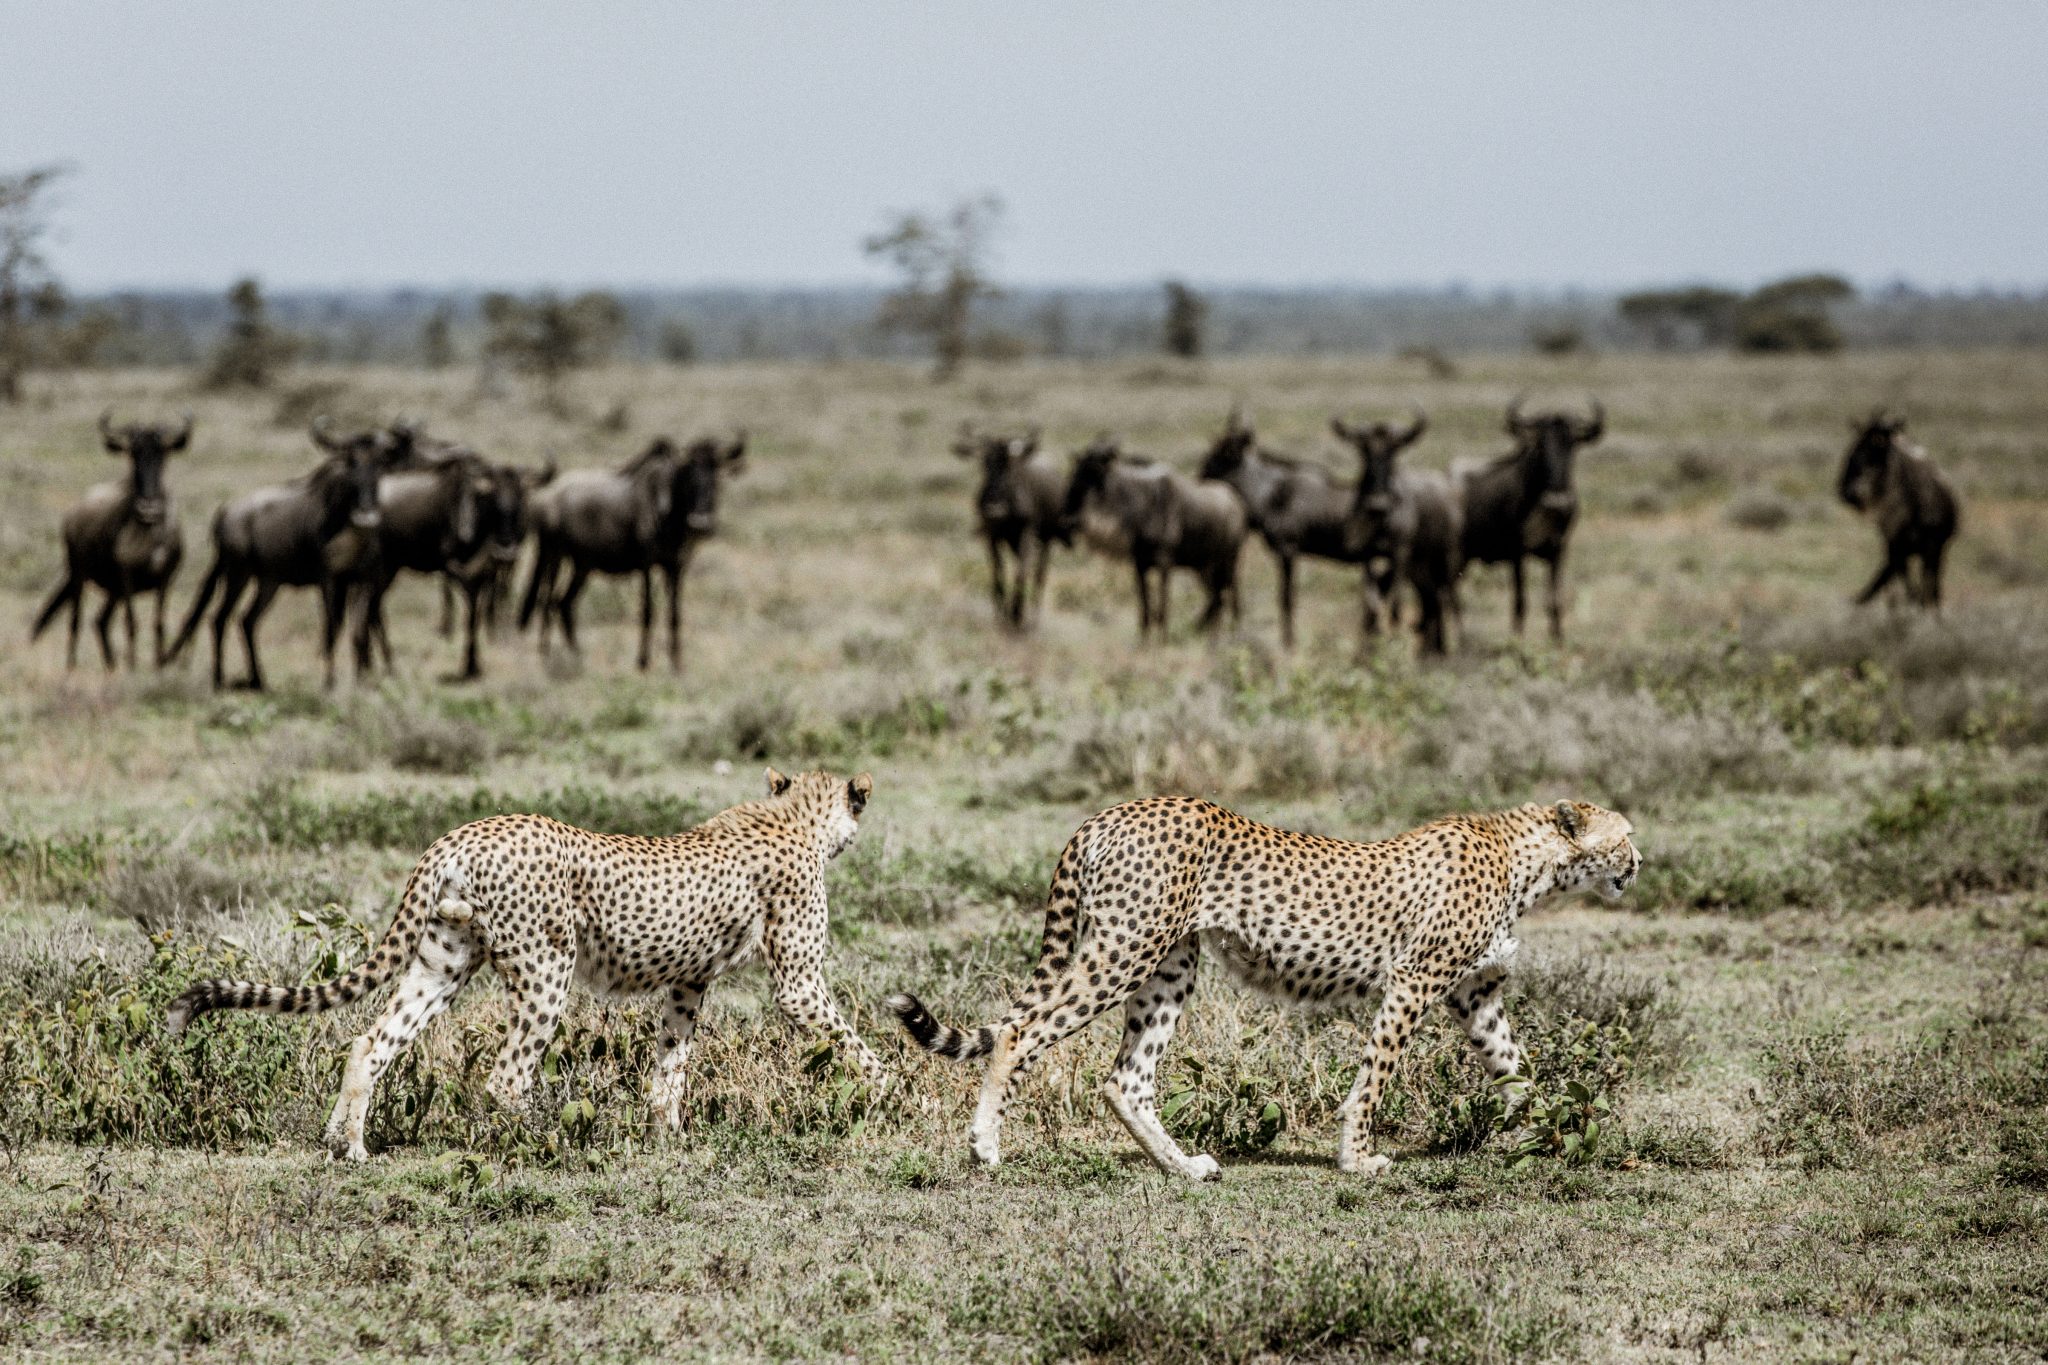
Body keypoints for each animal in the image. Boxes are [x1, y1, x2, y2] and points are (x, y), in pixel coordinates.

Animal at [167, 767, 884, 1161]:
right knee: (505, 1077)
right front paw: (889, 1097)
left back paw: (350, 1146)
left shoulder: (687, 982)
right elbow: (858, 1047)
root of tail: (462, 832)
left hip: (443, 960)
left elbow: (671, 1066)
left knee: (371, 1040)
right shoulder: (797, 983)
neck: (794, 816)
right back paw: (552, 1143)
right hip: (547, 969)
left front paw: (668, 1138)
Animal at [890, 796, 1639, 1181]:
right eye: (1625, 834)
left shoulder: (1474, 994)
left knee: (1126, 1077)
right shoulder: (1413, 981)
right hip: (1123, 950)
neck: (1528, 860)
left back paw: (1185, 1168)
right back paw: (985, 1146)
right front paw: (1357, 1159)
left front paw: (1548, 1133)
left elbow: (1519, 1069)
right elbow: (1375, 1079)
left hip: (1169, 965)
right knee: (1020, 1032)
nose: (1641, 861)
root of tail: (1113, 810)